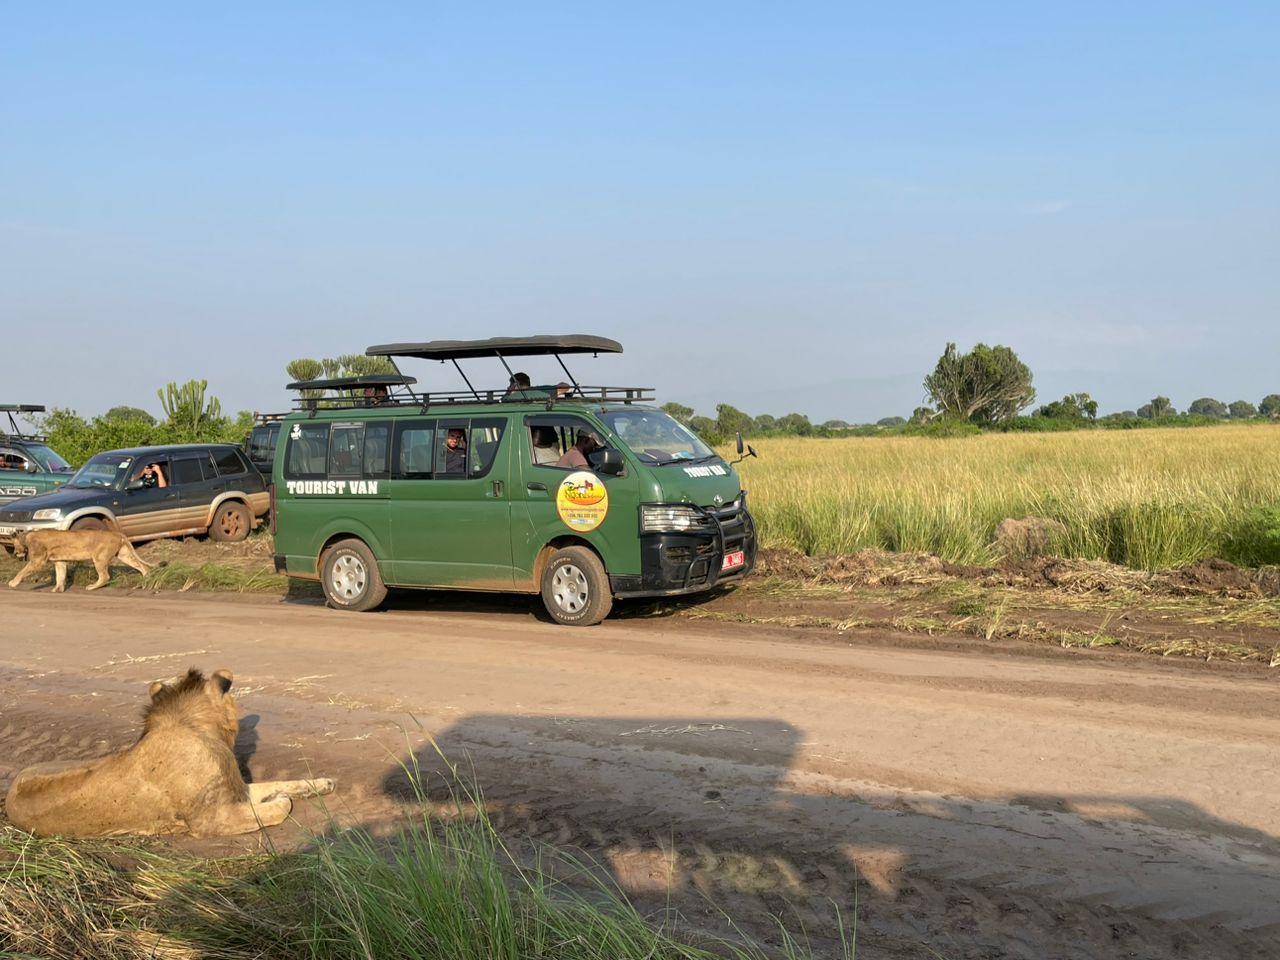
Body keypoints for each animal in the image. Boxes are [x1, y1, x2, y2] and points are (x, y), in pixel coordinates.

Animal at [4, 668, 334, 837]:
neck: (196, 729)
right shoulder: (212, 820)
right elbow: (280, 805)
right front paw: (281, 800)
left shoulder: (235, 791)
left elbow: (282, 783)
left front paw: (321, 784)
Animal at [7, 528, 151, 592]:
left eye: (13, 545)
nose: (14, 553)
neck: (27, 537)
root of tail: (117, 533)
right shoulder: (60, 561)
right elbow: (60, 575)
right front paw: (58, 589)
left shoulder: (38, 561)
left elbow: (22, 571)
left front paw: (13, 583)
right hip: (124, 554)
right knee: (143, 567)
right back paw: (144, 582)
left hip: (99, 558)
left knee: (105, 576)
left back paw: (92, 587)